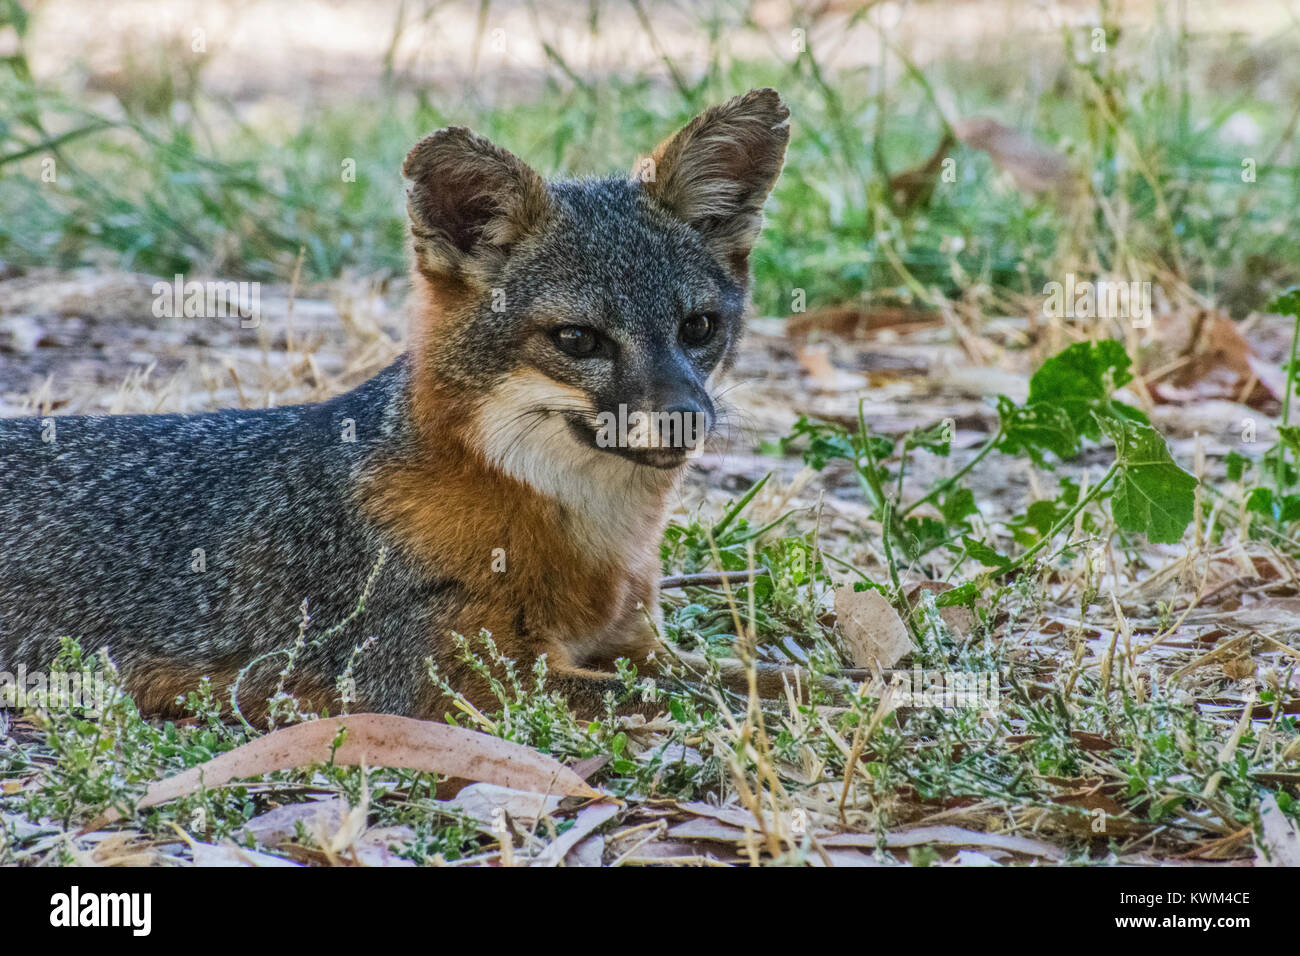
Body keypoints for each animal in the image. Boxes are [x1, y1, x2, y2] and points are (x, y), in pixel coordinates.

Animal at [0, 89, 800, 724]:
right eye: (578, 339)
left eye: (698, 327)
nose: (685, 416)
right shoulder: (444, 678)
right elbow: (706, 698)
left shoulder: (635, 647)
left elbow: (780, 679)